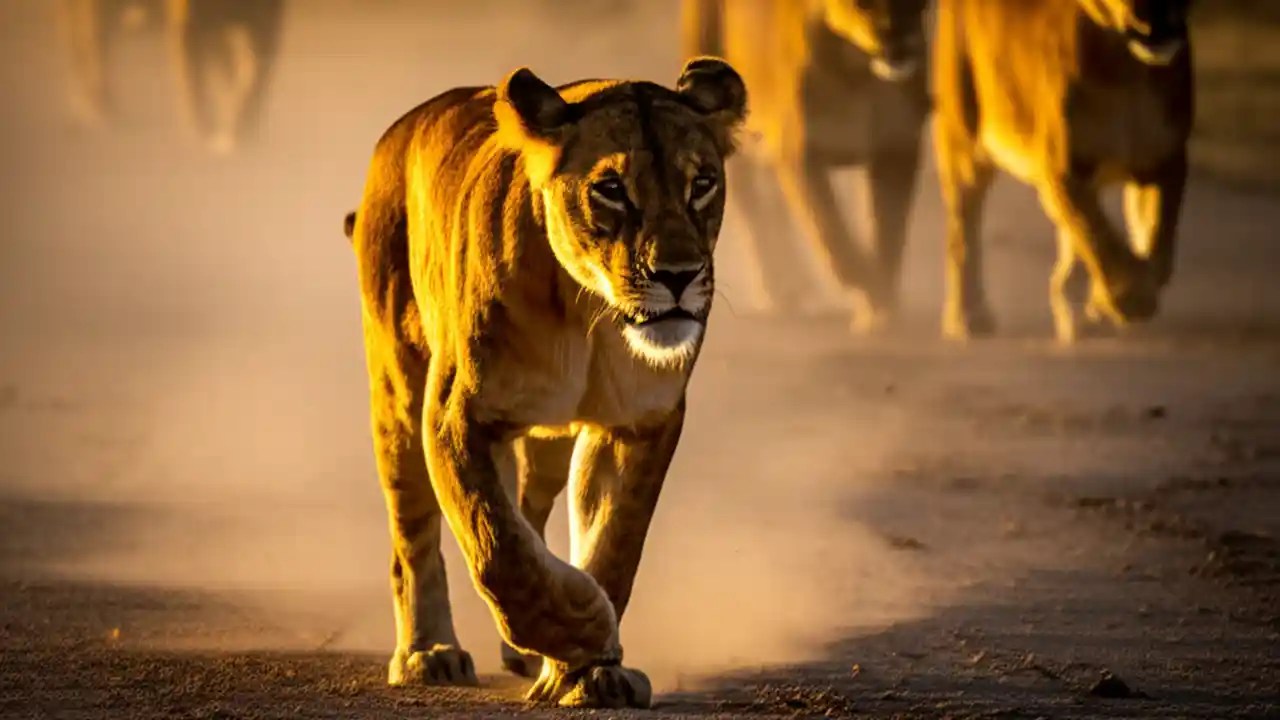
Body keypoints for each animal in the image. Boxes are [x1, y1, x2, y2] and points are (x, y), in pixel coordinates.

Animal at [342, 58, 747, 708]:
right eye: (611, 189)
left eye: (703, 183)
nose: (678, 276)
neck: (592, 316)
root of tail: (399, 131)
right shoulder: (457, 415)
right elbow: (496, 549)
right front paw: (585, 628)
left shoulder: (639, 422)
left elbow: (614, 542)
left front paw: (591, 671)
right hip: (398, 392)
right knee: (415, 537)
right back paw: (430, 653)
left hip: (546, 441)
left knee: (531, 507)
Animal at [682, 0, 930, 331]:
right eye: (864, 3)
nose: (899, 43)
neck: (861, 75)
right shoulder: (800, 153)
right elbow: (832, 234)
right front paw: (868, 286)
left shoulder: (897, 148)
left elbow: (889, 231)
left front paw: (880, 309)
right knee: (752, 208)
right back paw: (781, 288)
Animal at [932, 0, 1194, 342]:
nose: (1155, 21)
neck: (1129, 68)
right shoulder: (1062, 168)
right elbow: (1098, 235)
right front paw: (1128, 298)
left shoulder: (1166, 161)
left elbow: (1156, 240)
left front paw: (1105, 302)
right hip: (963, 134)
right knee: (963, 228)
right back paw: (968, 315)